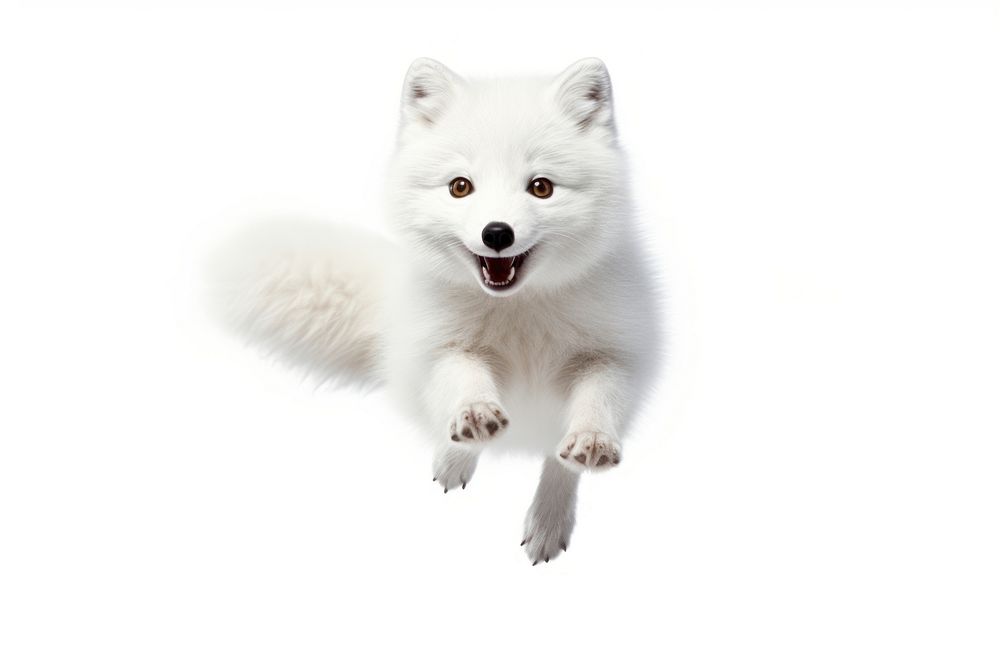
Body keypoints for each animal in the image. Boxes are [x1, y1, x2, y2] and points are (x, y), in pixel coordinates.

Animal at [208, 57, 664, 564]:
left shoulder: (616, 355)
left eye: (541, 187)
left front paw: (589, 444)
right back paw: (455, 457)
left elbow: (595, 407)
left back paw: (546, 520)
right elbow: (462, 377)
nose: (496, 233)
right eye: (460, 187)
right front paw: (473, 415)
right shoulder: (444, 345)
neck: (517, 313)